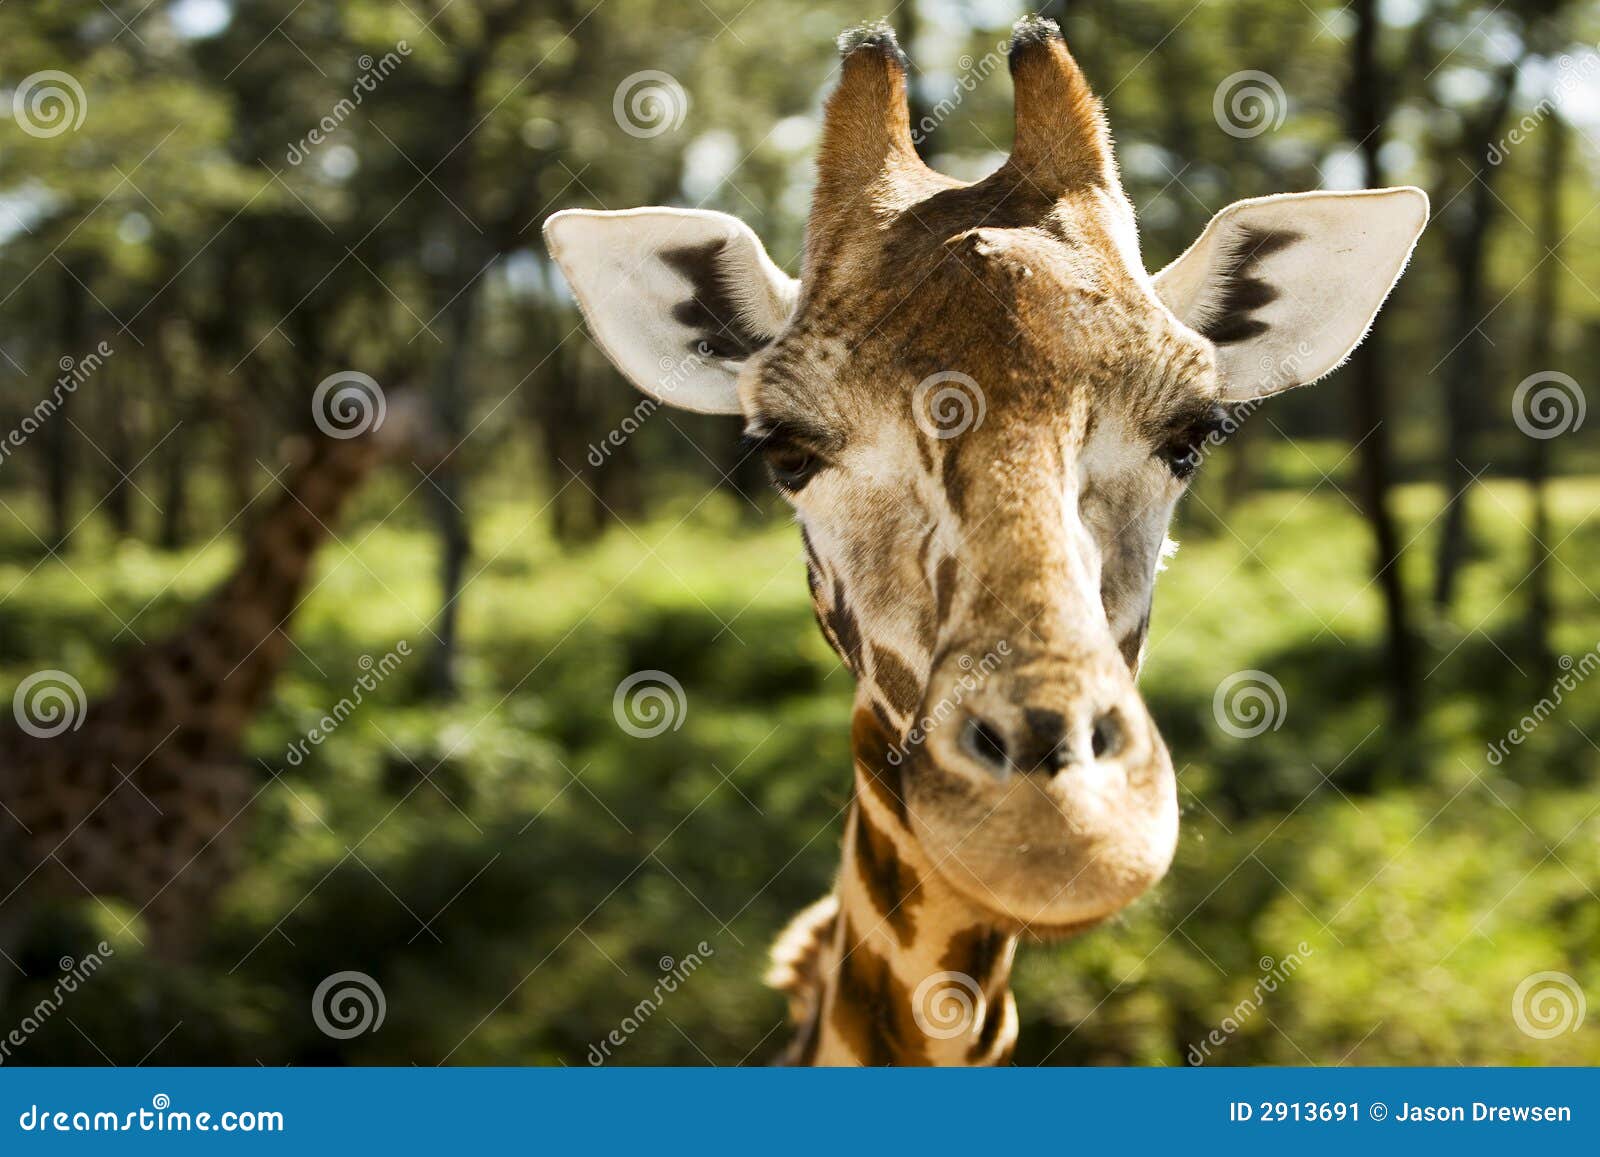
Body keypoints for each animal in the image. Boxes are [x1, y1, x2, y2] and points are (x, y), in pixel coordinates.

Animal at [0, 384, 422, 981]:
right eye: (358, 409)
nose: (442, 444)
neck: (216, 712)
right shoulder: (166, 902)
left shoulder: (204, 902)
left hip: (20, 890)